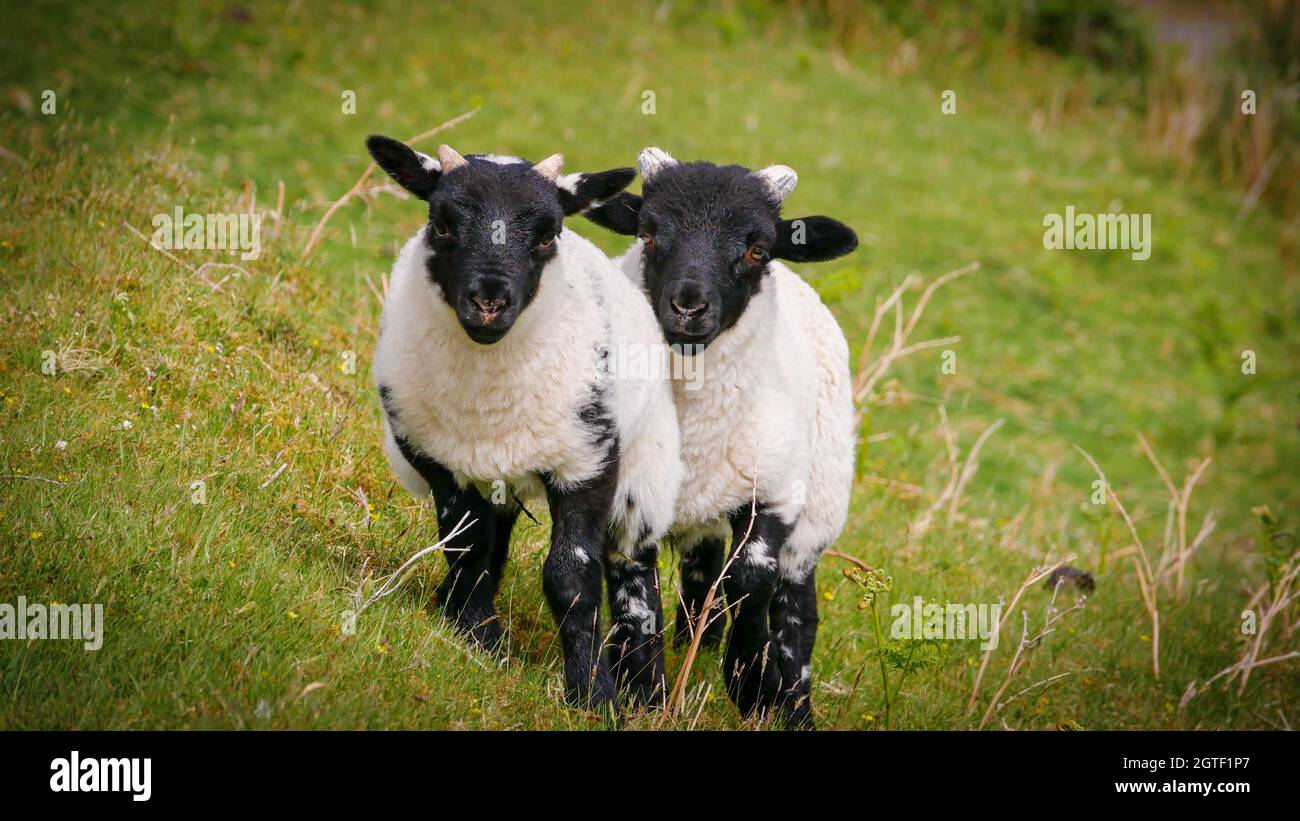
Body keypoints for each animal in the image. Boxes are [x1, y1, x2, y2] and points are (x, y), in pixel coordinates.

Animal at [367, 136, 682, 713]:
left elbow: (572, 577)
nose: (489, 302)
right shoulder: (435, 458)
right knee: (492, 542)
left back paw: (648, 690)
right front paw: (478, 640)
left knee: (633, 570)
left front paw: (593, 695)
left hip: (646, 470)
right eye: (440, 222)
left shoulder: (589, 461)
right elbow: (468, 553)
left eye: (548, 233)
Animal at [583, 147, 859, 727]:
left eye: (758, 249)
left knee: (795, 602)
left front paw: (751, 684)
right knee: (702, 571)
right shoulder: (633, 495)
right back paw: (698, 643)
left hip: (819, 499)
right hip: (702, 512)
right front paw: (645, 692)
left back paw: (793, 704)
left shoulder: (774, 492)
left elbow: (751, 584)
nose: (688, 306)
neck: (697, 425)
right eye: (647, 234)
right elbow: (637, 592)